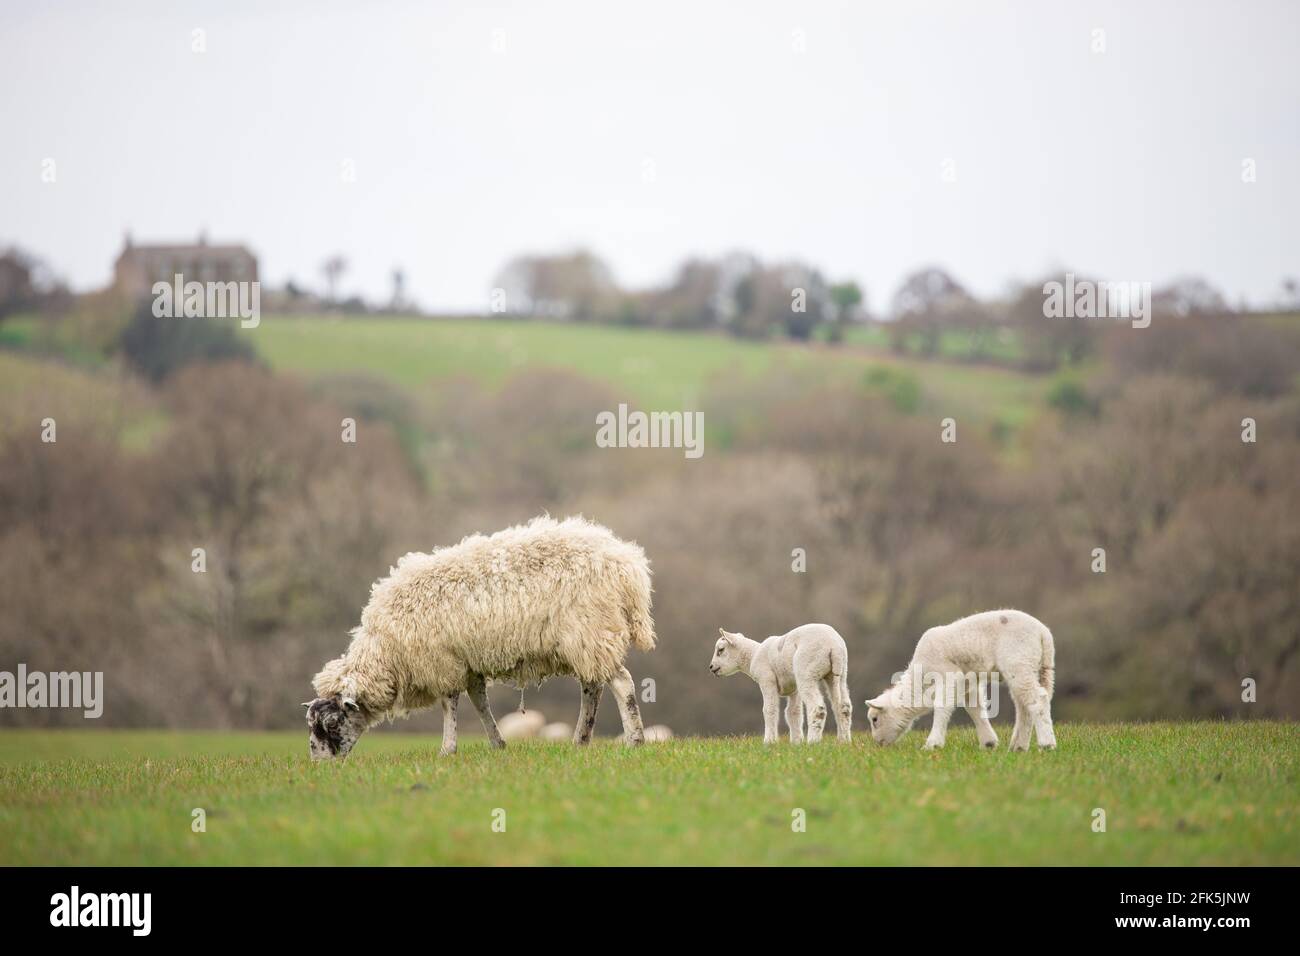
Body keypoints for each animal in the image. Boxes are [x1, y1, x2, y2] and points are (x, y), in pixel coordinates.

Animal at [305, 515, 655, 760]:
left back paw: (635, 740)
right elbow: (479, 702)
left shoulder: (441, 659)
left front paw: (447, 749)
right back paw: (580, 740)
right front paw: (497, 743)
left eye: (332, 723)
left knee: (621, 683)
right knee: (592, 688)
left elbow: (449, 703)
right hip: (585, 639)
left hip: (592, 630)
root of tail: (627, 565)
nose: (319, 764)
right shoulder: (467, 663)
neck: (385, 651)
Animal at [709, 623, 852, 744]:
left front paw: (769, 741)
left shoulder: (767, 680)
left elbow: (769, 709)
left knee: (817, 708)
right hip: (839, 673)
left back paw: (813, 742)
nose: (711, 667)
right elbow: (793, 712)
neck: (752, 655)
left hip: (806, 671)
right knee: (843, 707)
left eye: (720, 650)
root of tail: (834, 646)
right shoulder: (794, 689)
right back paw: (843, 741)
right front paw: (796, 742)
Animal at [864, 609, 1056, 751]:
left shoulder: (948, 674)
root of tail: (1043, 633)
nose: (878, 744)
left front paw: (932, 744)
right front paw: (988, 743)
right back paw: (1019, 747)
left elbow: (942, 706)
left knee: (1037, 699)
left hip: (1018, 661)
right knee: (1025, 705)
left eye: (875, 719)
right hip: (1036, 668)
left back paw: (1047, 744)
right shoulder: (968, 682)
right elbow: (975, 709)